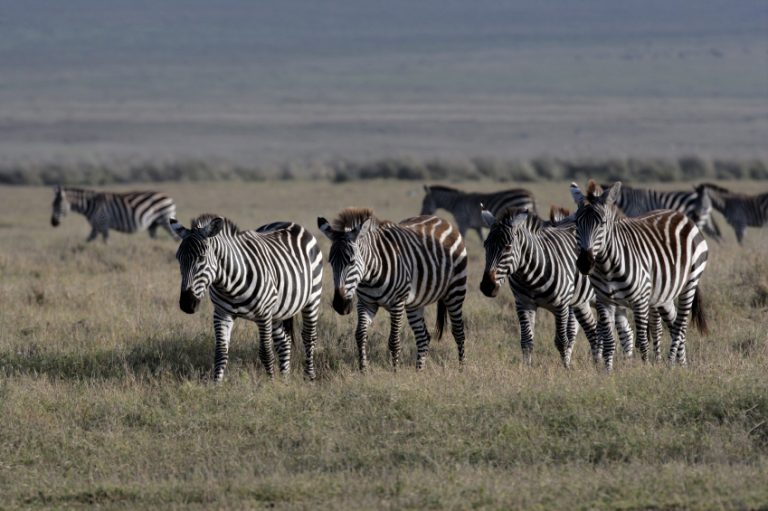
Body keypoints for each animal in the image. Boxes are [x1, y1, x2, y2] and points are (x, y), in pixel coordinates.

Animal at [171, 214, 323, 381]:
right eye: (178, 258)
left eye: (201, 258)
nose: (186, 304)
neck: (229, 284)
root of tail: (289, 223)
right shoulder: (222, 314)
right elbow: (220, 352)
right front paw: (216, 384)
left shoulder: (263, 315)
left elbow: (266, 353)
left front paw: (271, 383)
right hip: (277, 310)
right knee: (284, 342)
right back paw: (285, 378)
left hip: (312, 299)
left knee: (308, 337)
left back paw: (310, 376)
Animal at [318, 208, 467, 370]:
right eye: (330, 262)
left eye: (351, 261)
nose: (340, 305)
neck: (370, 276)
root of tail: (442, 220)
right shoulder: (366, 303)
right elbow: (360, 335)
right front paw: (363, 370)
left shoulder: (397, 303)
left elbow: (394, 341)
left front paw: (395, 372)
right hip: (415, 303)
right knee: (423, 337)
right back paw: (419, 371)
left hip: (455, 291)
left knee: (458, 332)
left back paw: (461, 369)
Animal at [479, 206, 635, 367]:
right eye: (485, 245)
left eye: (508, 247)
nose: (487, 286)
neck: (529, 275)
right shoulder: (523, 304)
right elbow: (527, 341)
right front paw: (526, 369)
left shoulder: (561, 306)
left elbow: (562, 341)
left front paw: (566, 368)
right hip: (584, 302)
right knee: (604, 331)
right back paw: (611, 364)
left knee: (611, 332)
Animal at [571, 180, 709, 370]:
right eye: (577, 223)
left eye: (602, 223)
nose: (585, 262)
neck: (607, 267)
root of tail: (680, 215)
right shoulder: (604, 301)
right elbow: (609, 340)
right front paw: (607, 372)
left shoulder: (640, 300)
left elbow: (643, 341)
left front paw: (645, 370)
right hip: (663, 293)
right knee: (674, 322)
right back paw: (681, 363)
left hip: (690, 283)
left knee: (680, 326)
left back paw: (670, 362)